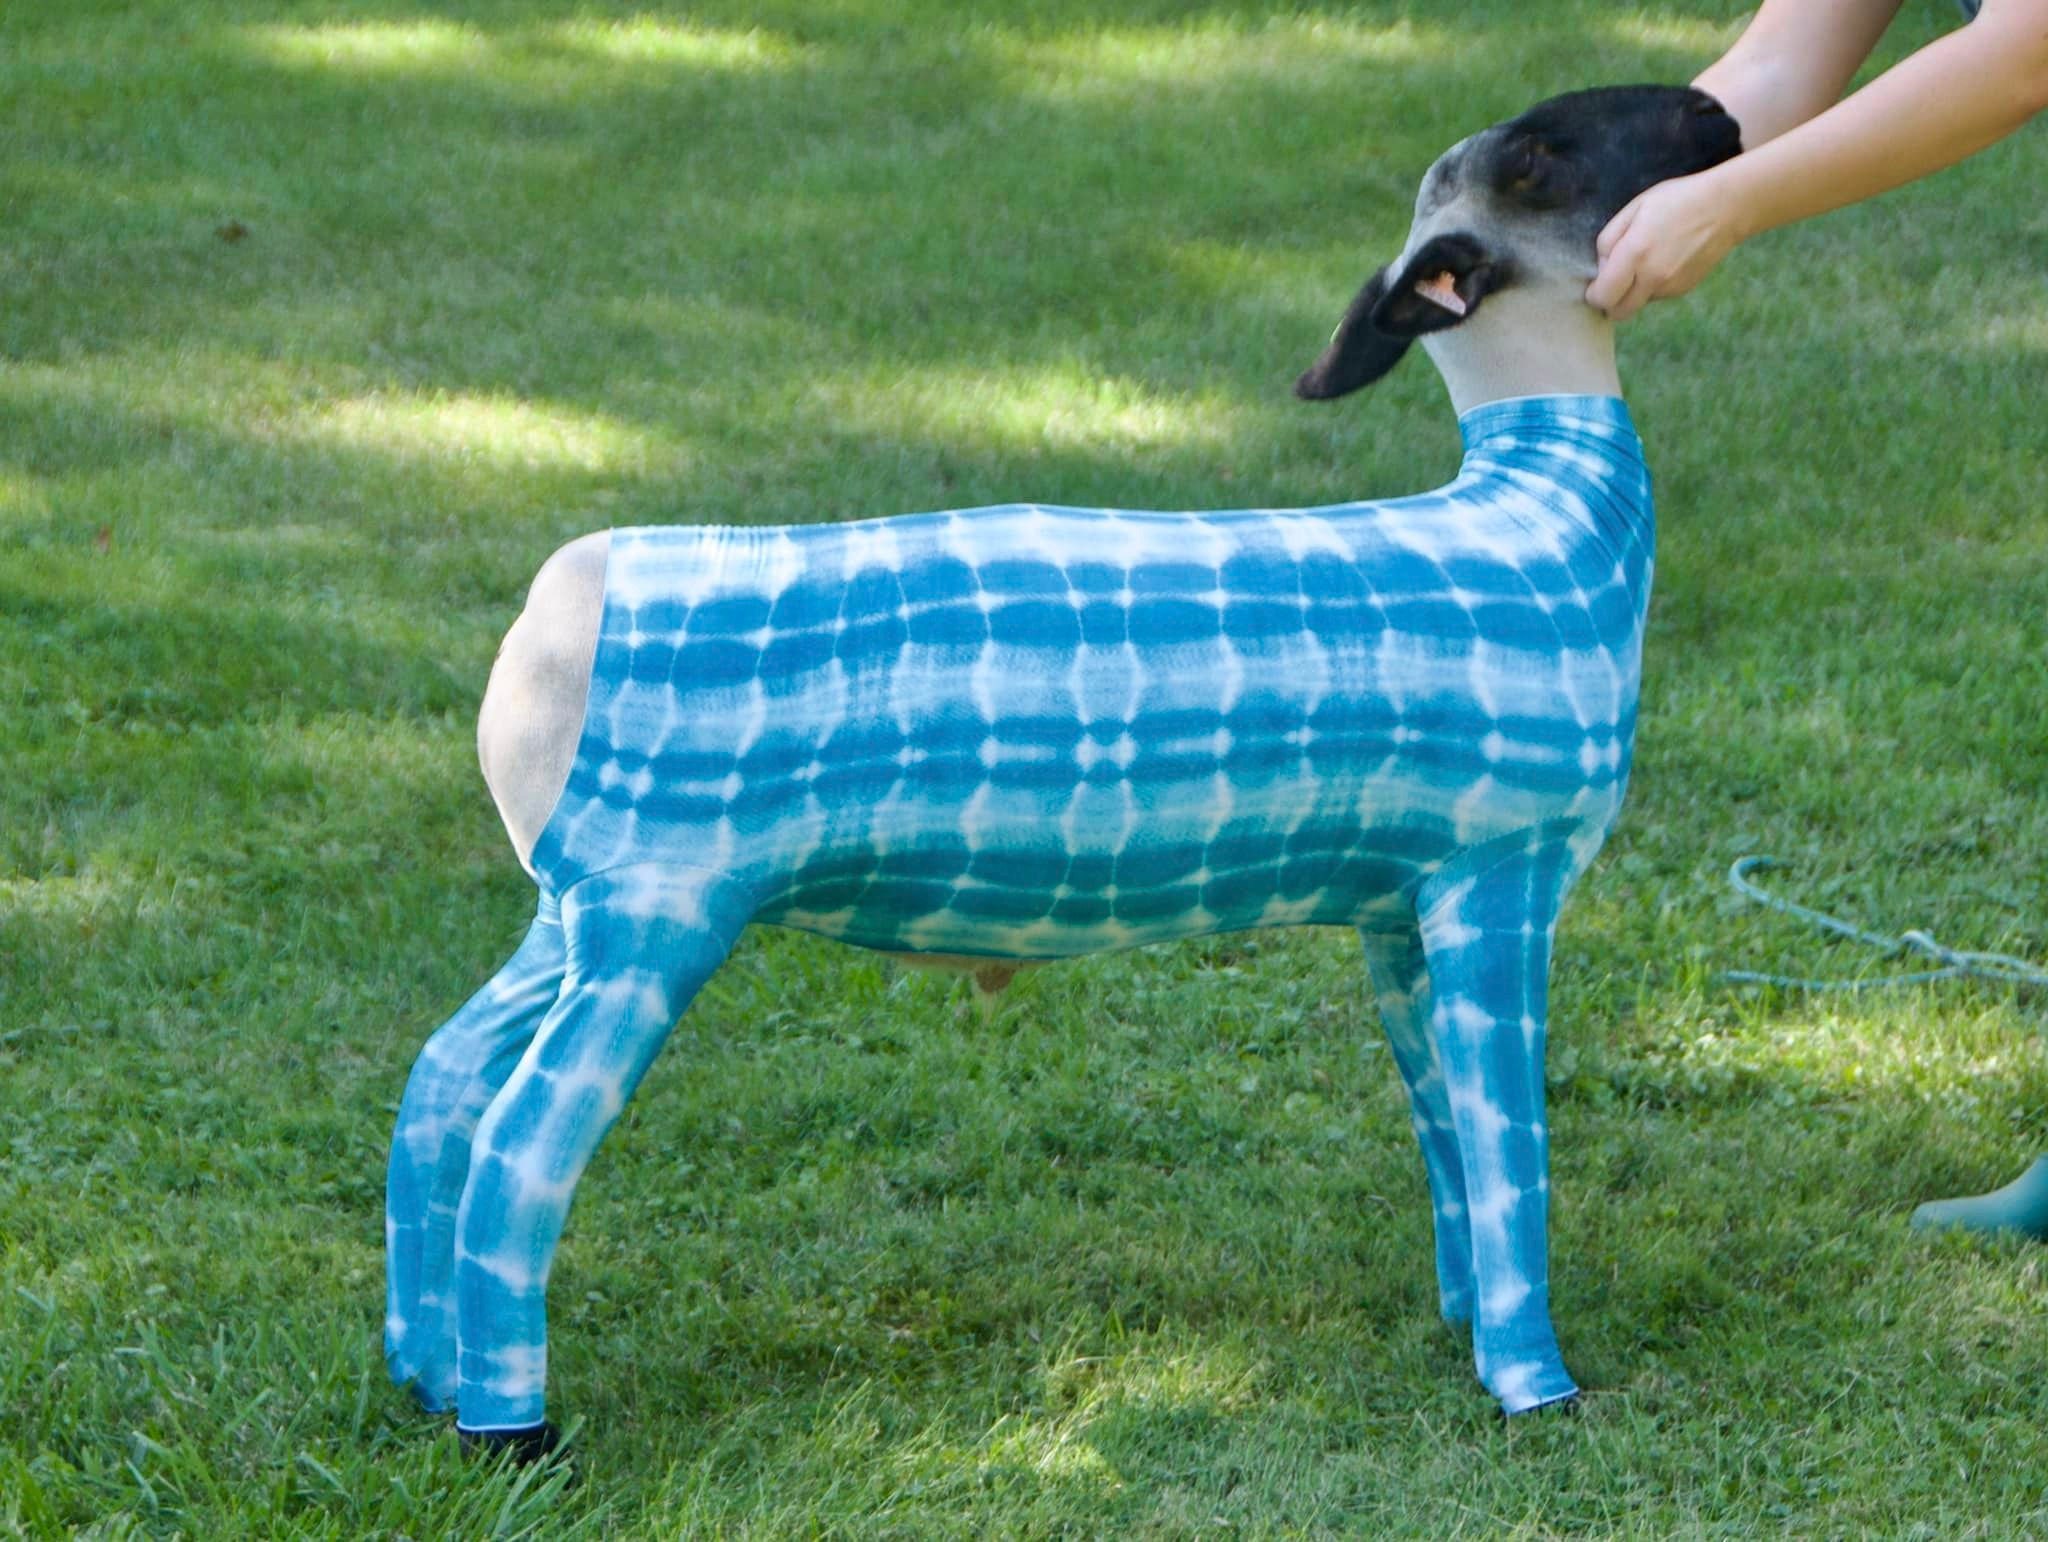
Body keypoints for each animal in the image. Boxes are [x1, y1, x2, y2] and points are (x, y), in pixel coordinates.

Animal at [383, 84, 1743, 1456]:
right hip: (657, 909)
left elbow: (1446, 1131)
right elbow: (1510, 1141)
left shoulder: (1395, 906)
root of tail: (550, 623)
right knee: (517, 1141)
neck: (1534, 514)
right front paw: (1536, 1388)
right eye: (1536, 157)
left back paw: (424, 1376)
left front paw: (1463, 1326)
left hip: (571, 906)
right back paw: (509, 1430)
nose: (1711, 108)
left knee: (441, 1080)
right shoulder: (1496, 873)